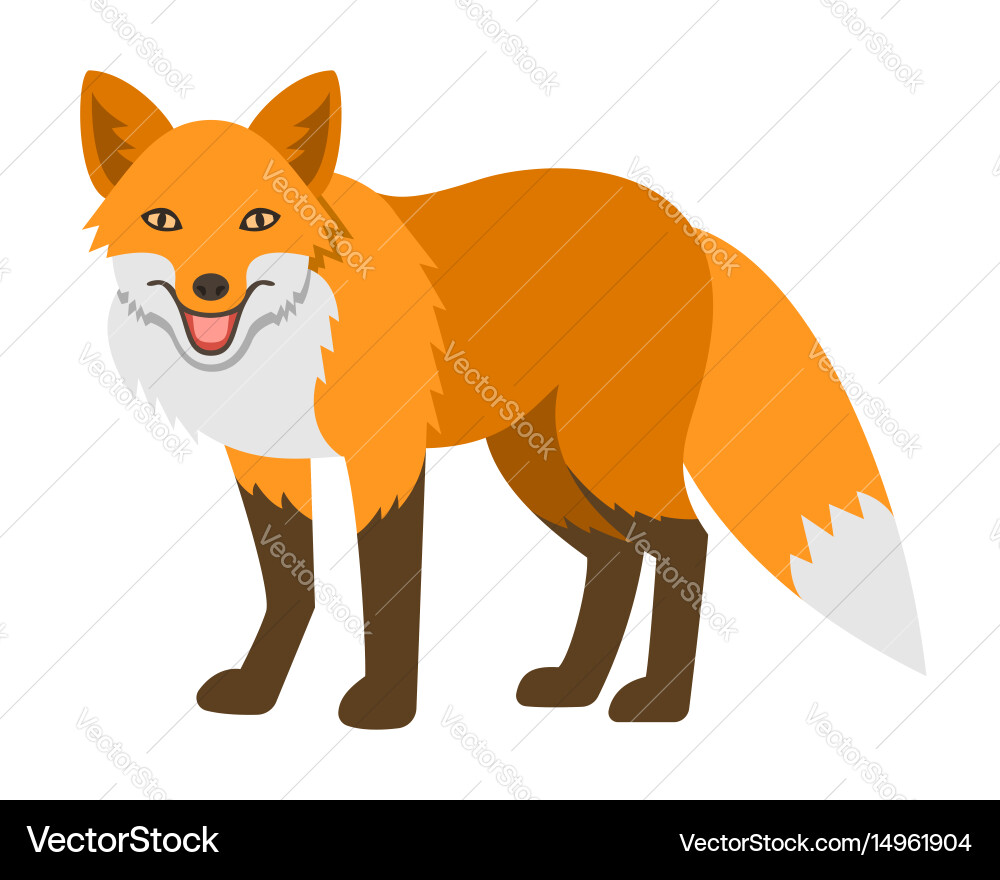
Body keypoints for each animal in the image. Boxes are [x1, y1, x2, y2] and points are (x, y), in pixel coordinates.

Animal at [79, 69, 923, 729]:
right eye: (163, 220)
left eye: (260, 220)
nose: (208, 286)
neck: (295, 328)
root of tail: (686, 226)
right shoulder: (266, 462)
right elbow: (289, 587)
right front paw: (258, 695)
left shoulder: (386, 458)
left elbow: (390, 594)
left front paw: (385, 709)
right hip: (537, 462)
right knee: (617, 554)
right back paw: (577, 687)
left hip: (603, 449)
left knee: (686, 541)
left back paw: (657, 703)